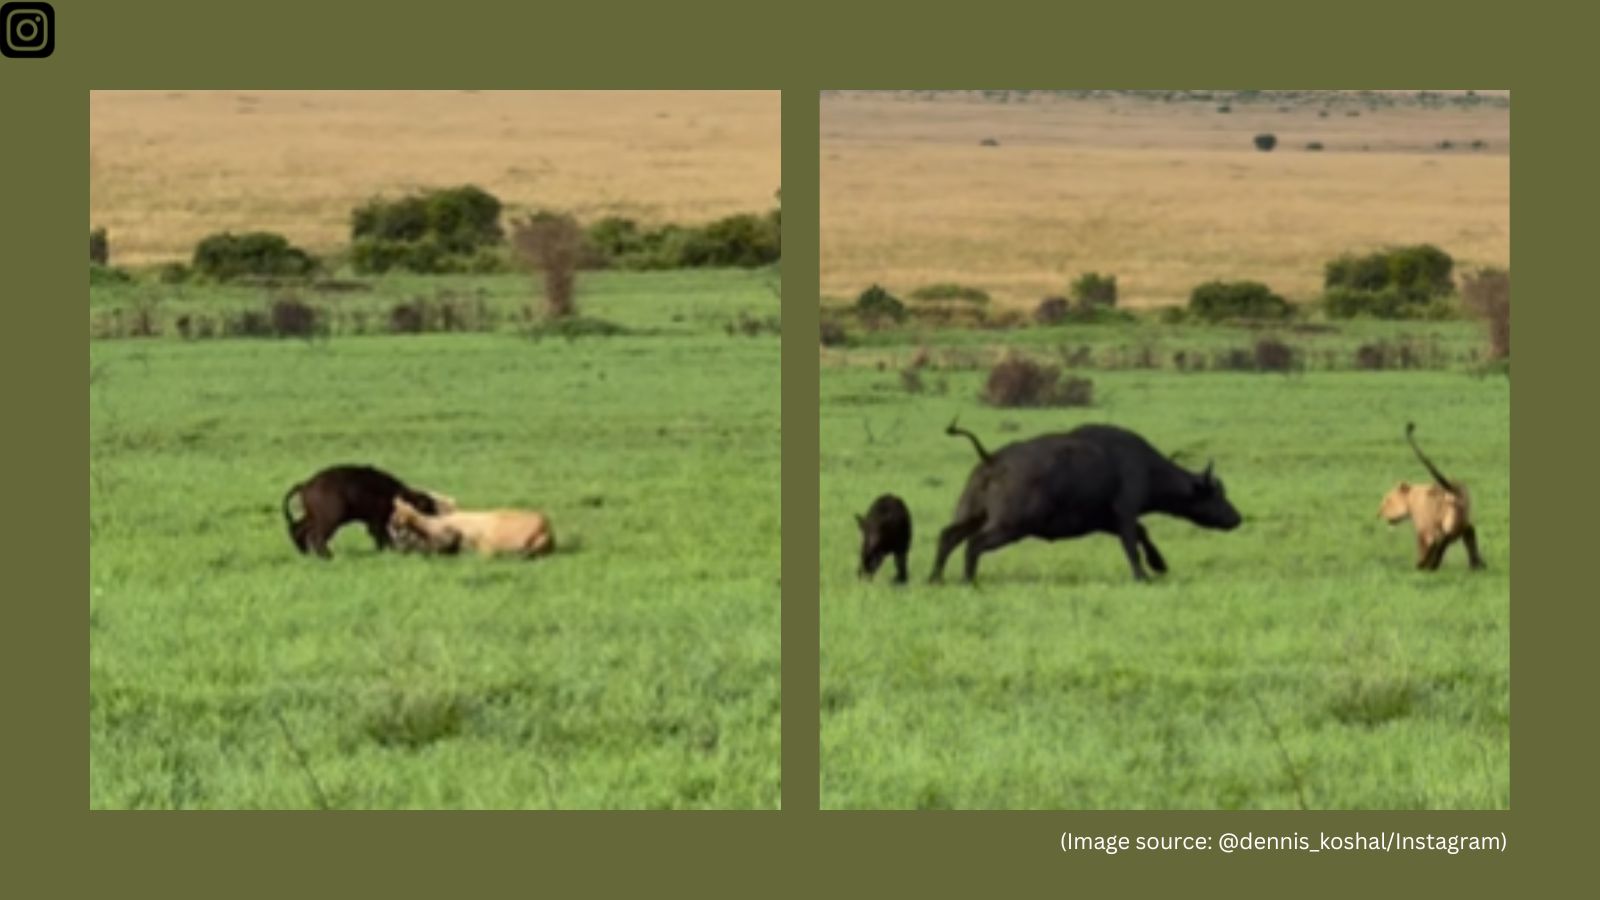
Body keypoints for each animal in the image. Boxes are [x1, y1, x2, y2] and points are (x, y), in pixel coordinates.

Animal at [281, 464, 445, 559]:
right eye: (425, 507)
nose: (435, 518)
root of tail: (305, 484)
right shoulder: (378, 520)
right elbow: (382, 536)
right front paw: (390, 551)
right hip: (329, 520)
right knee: (316, 536)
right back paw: (328, 556)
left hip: (312, 517)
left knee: (299, 529)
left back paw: (305, 553)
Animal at [930, 420, 1242, 584]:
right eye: (1217, 495)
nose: (1237, 518)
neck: (1143, 465)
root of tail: (993, 458)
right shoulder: (1125, 513)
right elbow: (1133, 544)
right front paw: (1143, 575)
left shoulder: (1105, 521)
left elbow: (1142, 534)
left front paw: (1160, 564)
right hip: (1011, 526)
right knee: (974, 545)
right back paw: (968, 581)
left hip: (972, 514)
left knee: (947, 537)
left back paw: (935, 579)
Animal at [1378, 422, 1485, 571]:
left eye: (1387, 500)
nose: (1378, 514)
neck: (1411, 498)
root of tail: (1452, 489)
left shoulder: (1423, 526)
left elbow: (1424, 545)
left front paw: (1421, 564)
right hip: (1462, 520)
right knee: (1467, 535)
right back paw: (1475, 565)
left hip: (1441, 525)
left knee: (1440, 540)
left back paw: (1427, 565)